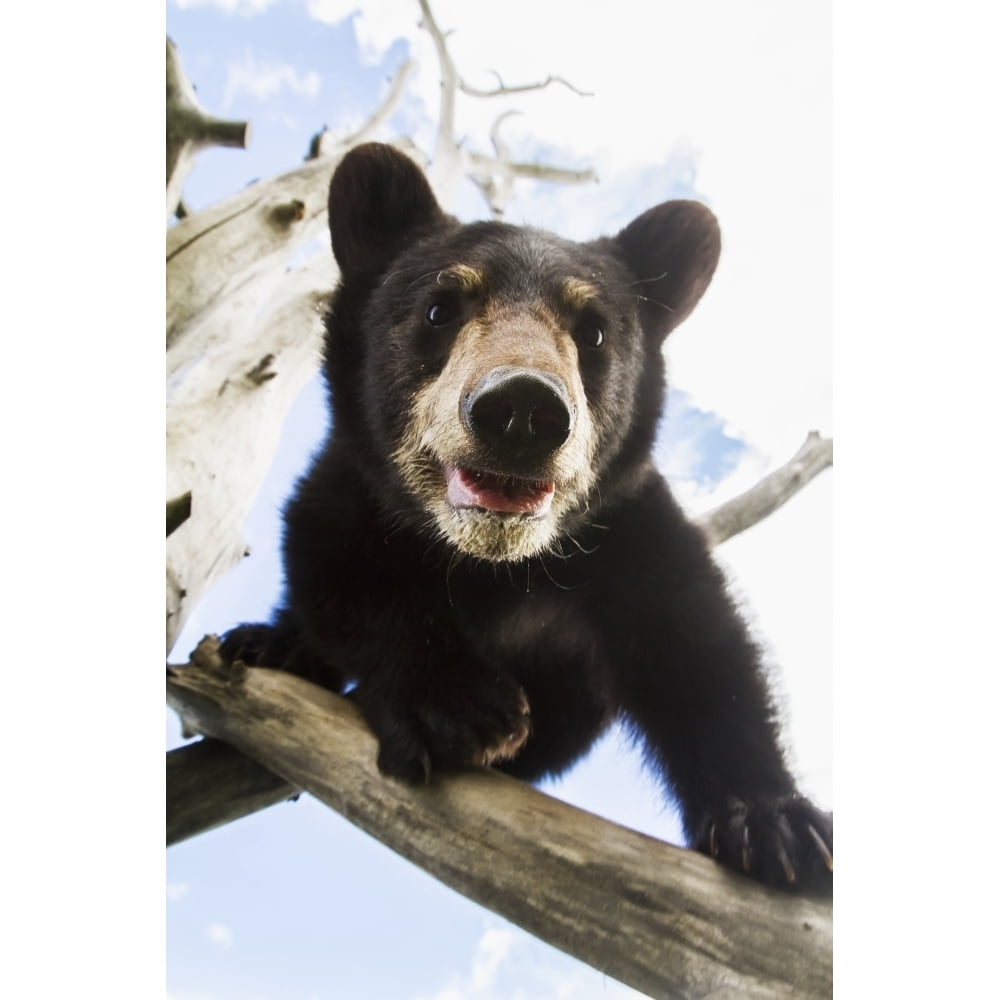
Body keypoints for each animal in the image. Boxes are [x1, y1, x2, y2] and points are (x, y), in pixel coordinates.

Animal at [221, 142, 832, 892]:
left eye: (593, 330)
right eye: (439, 309)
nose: (520, 410)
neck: (494, 566)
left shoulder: (629, 529)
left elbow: (697, 643)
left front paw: (775, 824)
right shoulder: (347, 486)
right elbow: (337, 568)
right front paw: (462, 705)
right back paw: (268, 644)